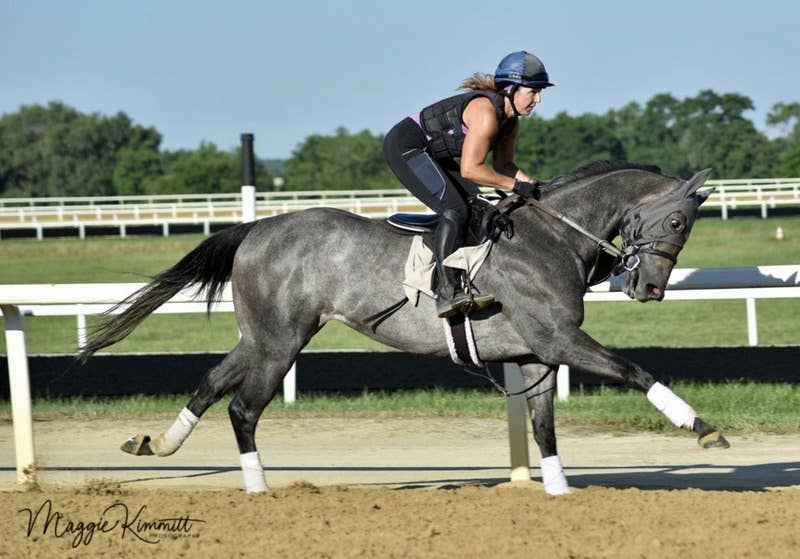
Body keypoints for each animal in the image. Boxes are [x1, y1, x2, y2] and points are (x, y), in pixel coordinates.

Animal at [79, 161, 728, 495]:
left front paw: (558, 494)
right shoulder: (558, 340)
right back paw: (260, 490)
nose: (650, 288)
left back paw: (158, 443)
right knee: (243, 408)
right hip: (280, 342)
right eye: (676, 221)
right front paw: (702, 428)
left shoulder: (538, 356)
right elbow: (635, 369)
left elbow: (544, 429)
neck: (554, 236)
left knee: (213, 382)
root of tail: (259, 227)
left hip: (262, 337)